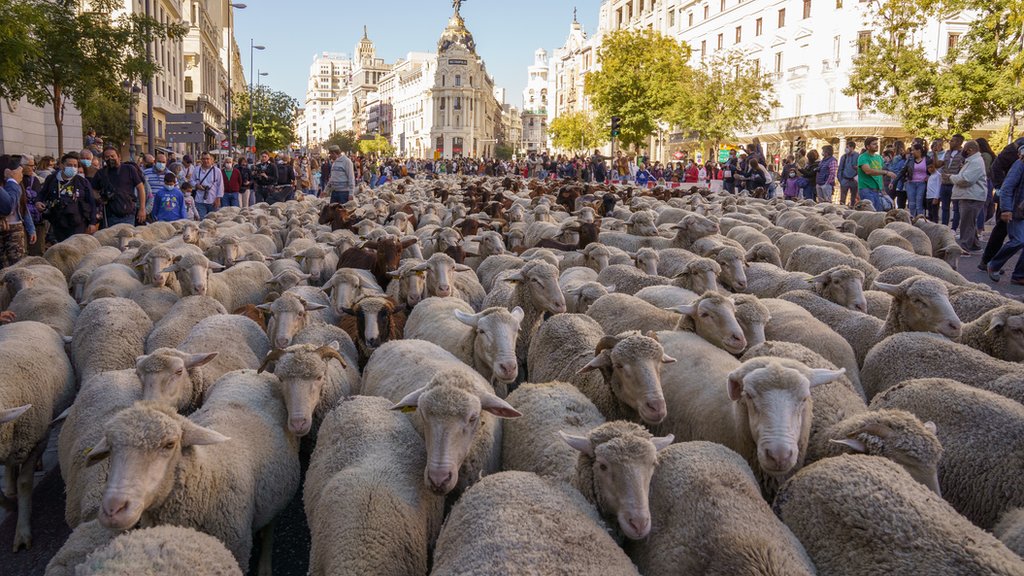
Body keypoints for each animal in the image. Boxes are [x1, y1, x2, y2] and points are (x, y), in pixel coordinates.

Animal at [0, 321, 76, 551]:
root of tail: (27, 321)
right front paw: (9, 504)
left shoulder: (36, 440)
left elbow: (25, 483)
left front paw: (22, 532)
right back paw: (9, 485)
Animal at [83, 372, 300, 572]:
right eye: (110, 446)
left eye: (170, 444)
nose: (113, 509)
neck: (209, 479)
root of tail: (253, 373)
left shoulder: (238, 548)